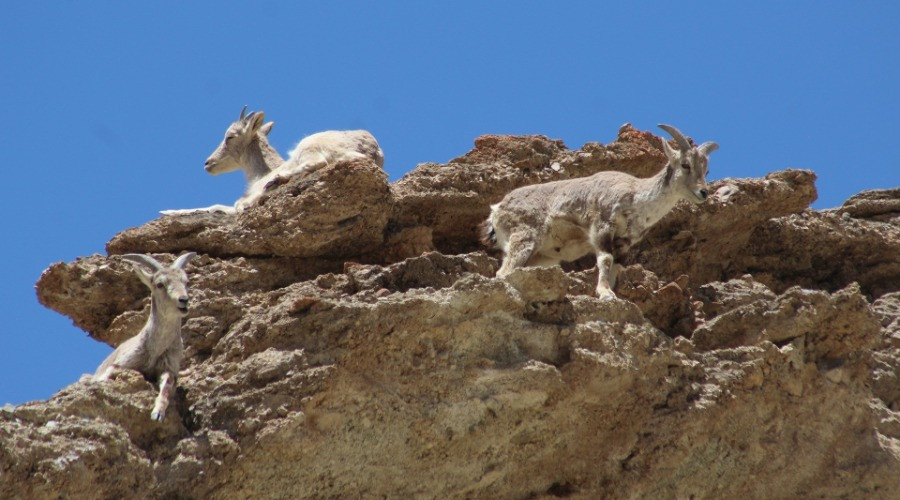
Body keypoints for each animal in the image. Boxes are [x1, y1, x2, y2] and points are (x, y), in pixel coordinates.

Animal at [94, 252, 196, 421]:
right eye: (160, 284)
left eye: (186, 282)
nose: (184, 300)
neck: (156, 348)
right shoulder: (124, 362)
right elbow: (116, 370)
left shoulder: (168, 368)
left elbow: (167, 385)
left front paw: (158, 413)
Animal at [161, 106, 384, 215]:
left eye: (230, 136)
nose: (208, 163)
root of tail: (371, 149)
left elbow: (222, 206)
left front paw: (169, 212)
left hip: (309, 144)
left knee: (318, 162)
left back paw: (274, 182)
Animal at [482, 124, 717, 300]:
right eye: (685, 165)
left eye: (706, 170)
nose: (703, 193)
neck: (636, 198)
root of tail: (497, 210)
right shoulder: (602, 227)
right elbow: (605, 259)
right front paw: (604, 293)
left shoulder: (625, 242)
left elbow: (617, 267)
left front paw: (614, 295)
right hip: (524, 239)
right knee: (503, 272)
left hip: (540, 256)